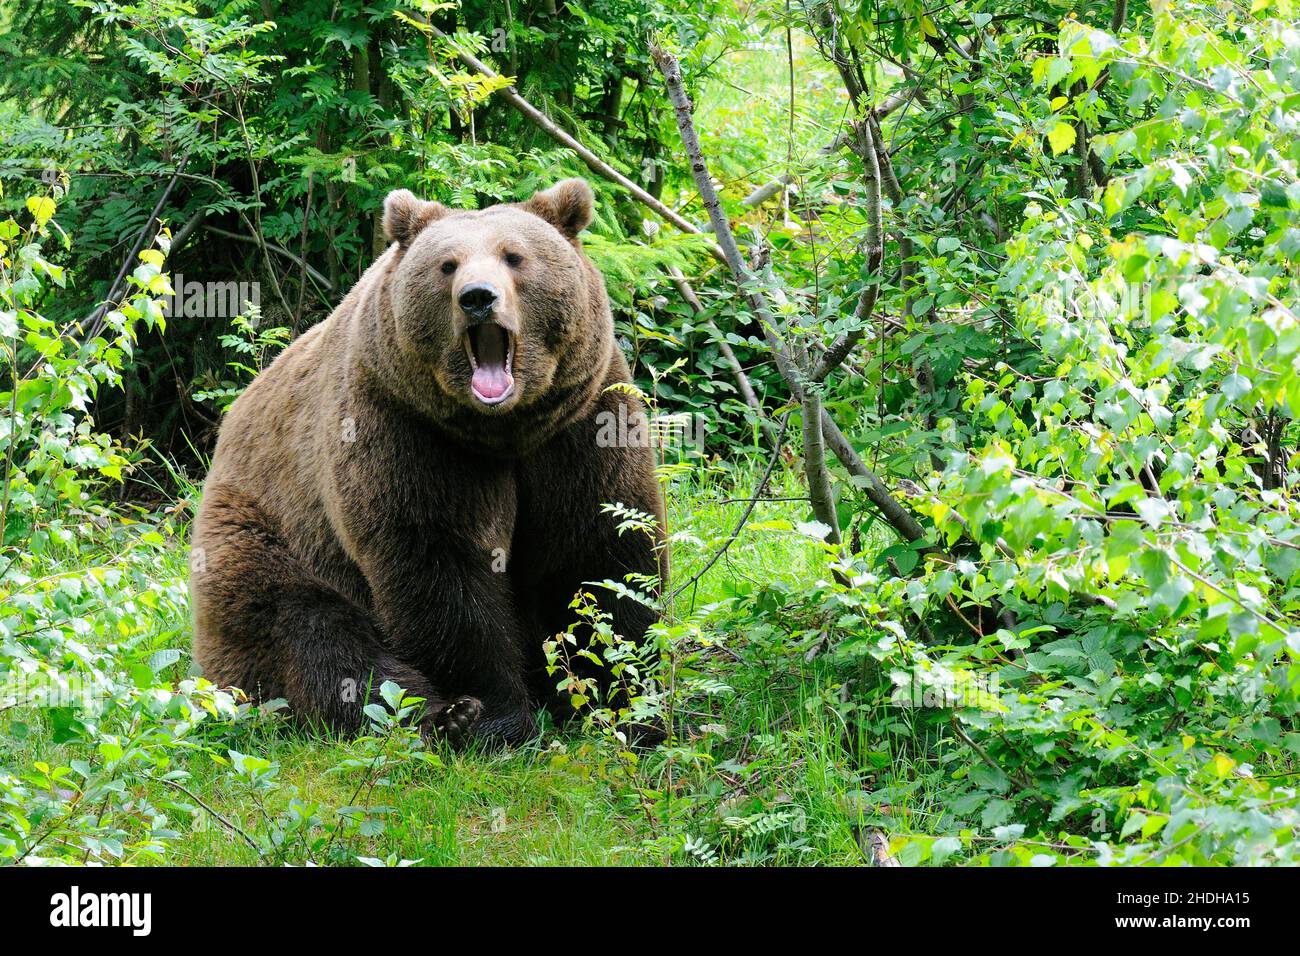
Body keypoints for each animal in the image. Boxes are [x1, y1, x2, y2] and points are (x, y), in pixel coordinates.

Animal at [189, 179, 667, 747]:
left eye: (514, 256)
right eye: (447, 264)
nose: (477, 297)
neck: (504, 431)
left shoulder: (580, 423)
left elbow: (603, 552)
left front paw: (626, 701)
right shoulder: (405, 428)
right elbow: (439, 567)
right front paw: (492, 715)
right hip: (266, 536)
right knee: (314, 636)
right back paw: (440, 715)